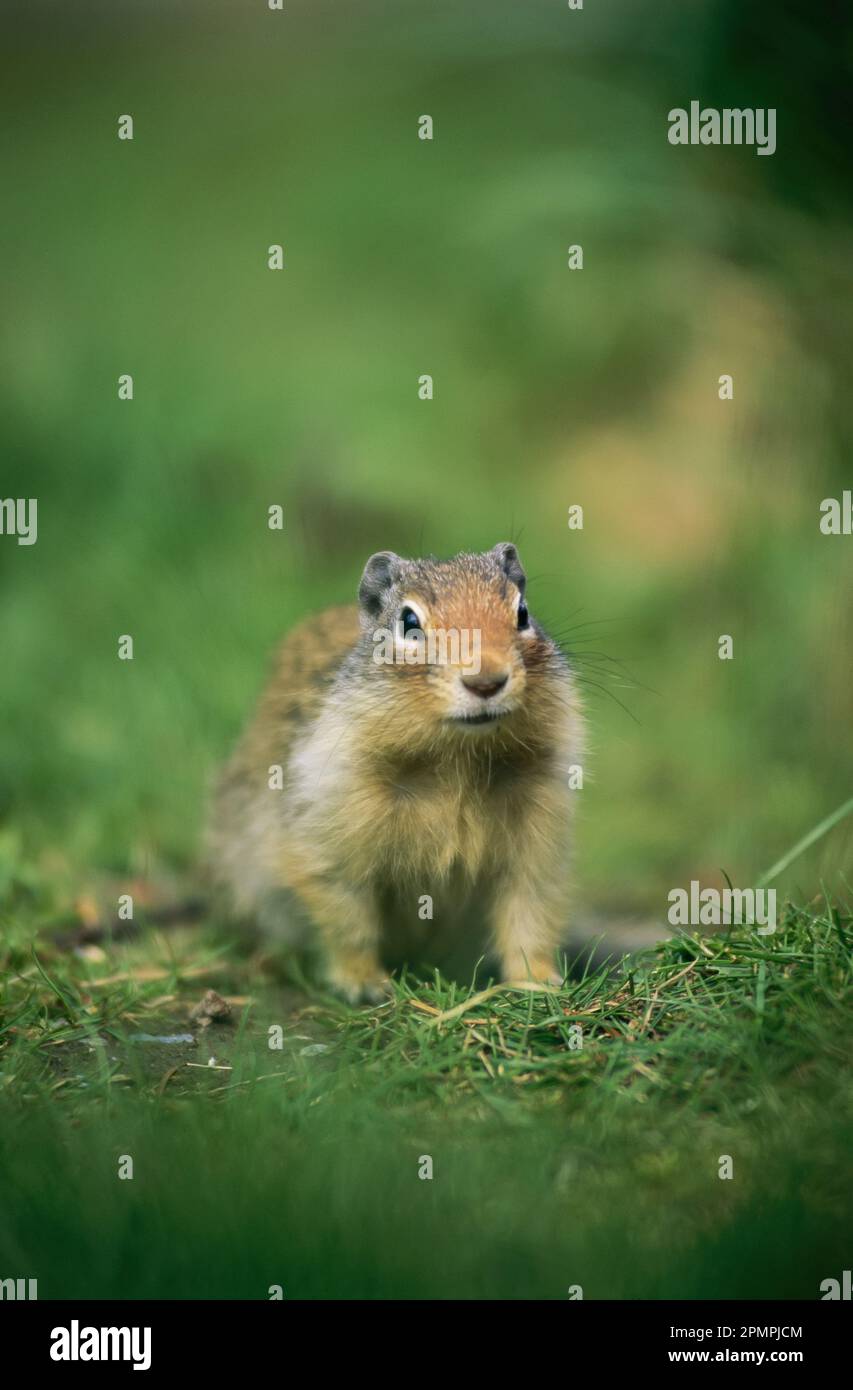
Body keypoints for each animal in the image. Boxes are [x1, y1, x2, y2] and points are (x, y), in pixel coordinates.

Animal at [207, 543, 584, 1002]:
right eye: (409, 623)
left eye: (523, 613)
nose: (486, 681)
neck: (458, 757)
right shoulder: (332, 832)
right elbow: (347, 914)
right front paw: (364, 984)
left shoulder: (538, 833)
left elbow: (530, 907)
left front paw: (537, 980)